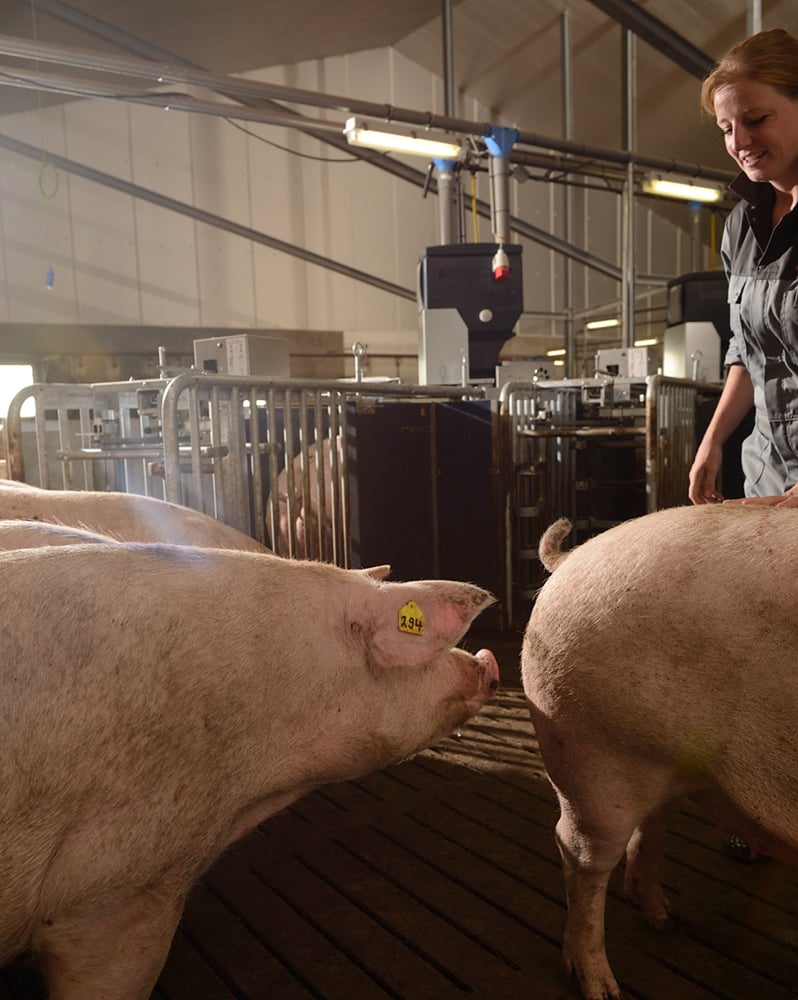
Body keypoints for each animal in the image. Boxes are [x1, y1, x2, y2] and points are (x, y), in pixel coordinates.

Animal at [521, 503, 798, 1000]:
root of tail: (573, 557)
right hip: (594, 756)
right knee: (581, 857)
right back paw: (603, 989)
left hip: (669, 766)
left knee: (650, 826)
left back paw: (666, 922)